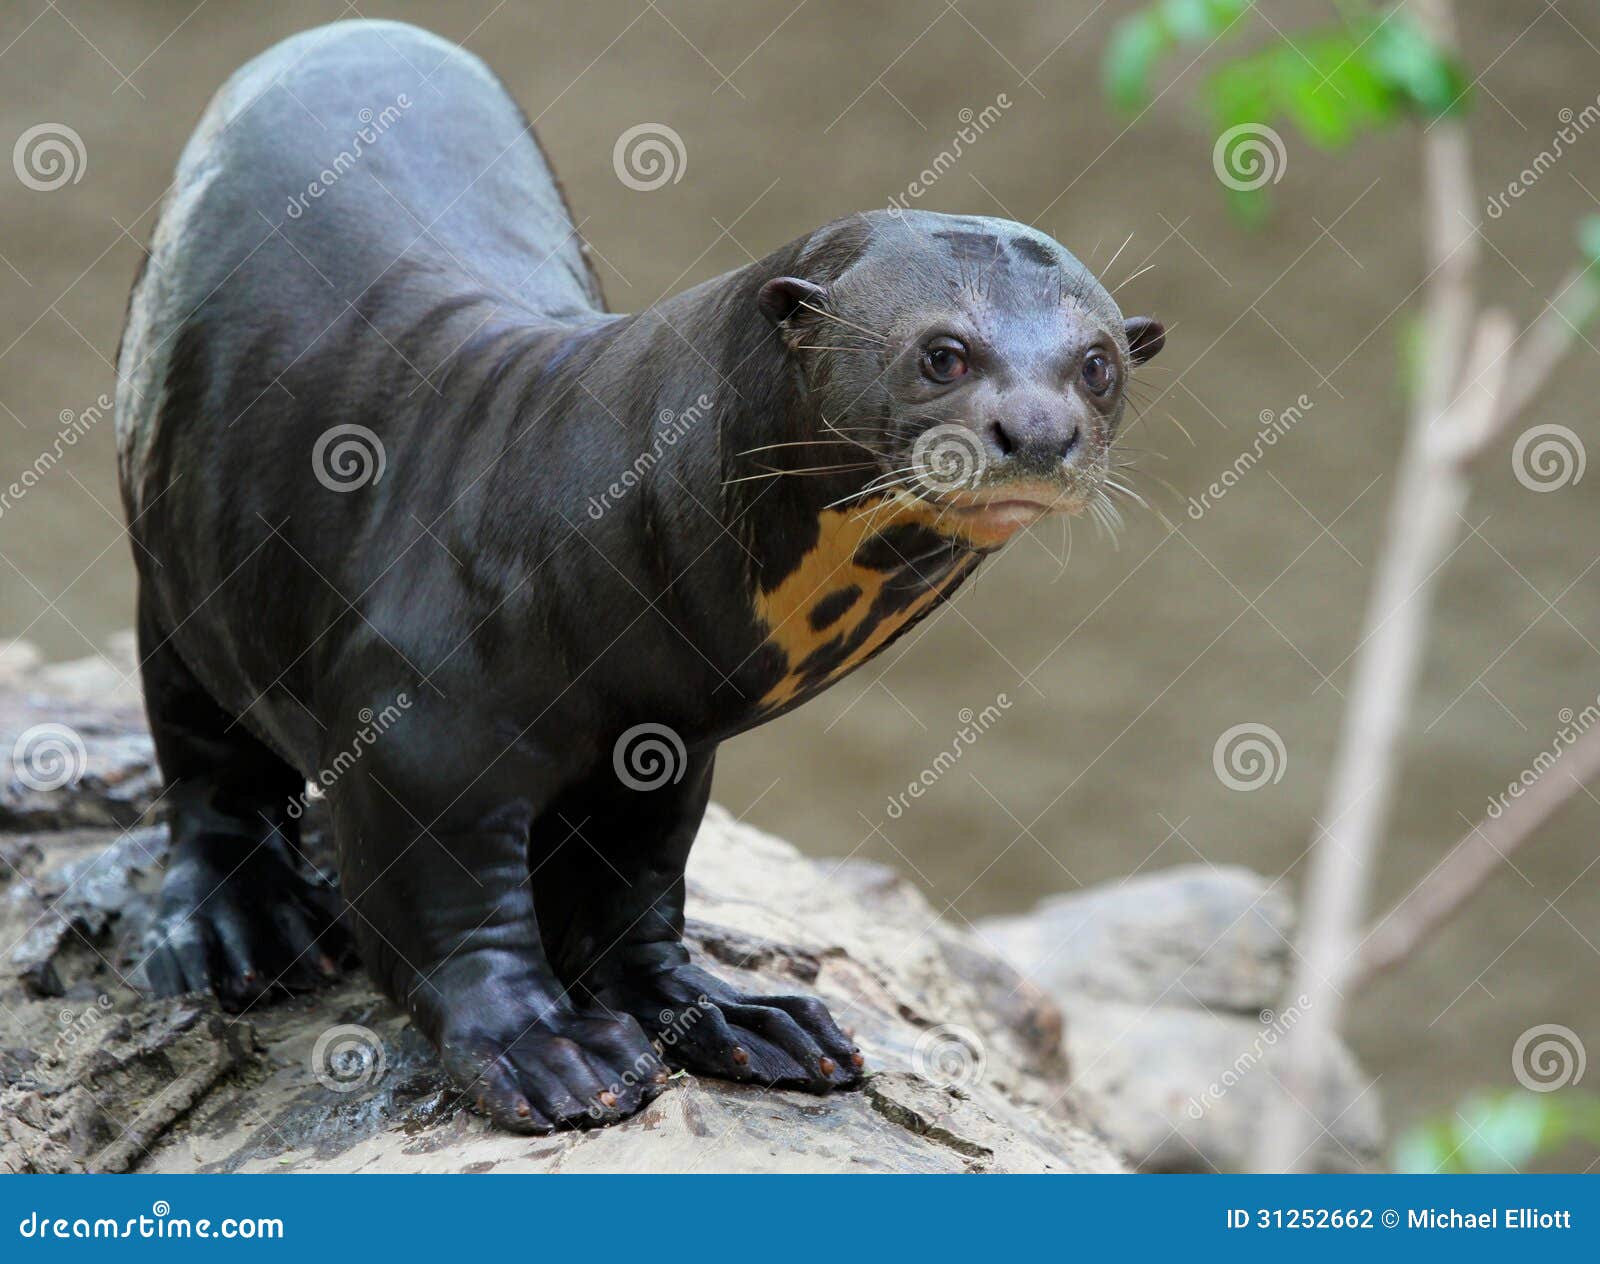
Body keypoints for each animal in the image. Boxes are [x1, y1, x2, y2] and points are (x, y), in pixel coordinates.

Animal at [116, 20, 1164, 1133]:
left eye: (1098, 365)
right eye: (943, 354)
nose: (1039, 432)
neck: (578, 526)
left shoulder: (663, 746)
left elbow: (630, 898)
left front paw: (734, 1014)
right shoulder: (414, 736)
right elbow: (441, 916)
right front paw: (544, 1050)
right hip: (175, 565)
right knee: (201, 747)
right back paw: (242, 923)